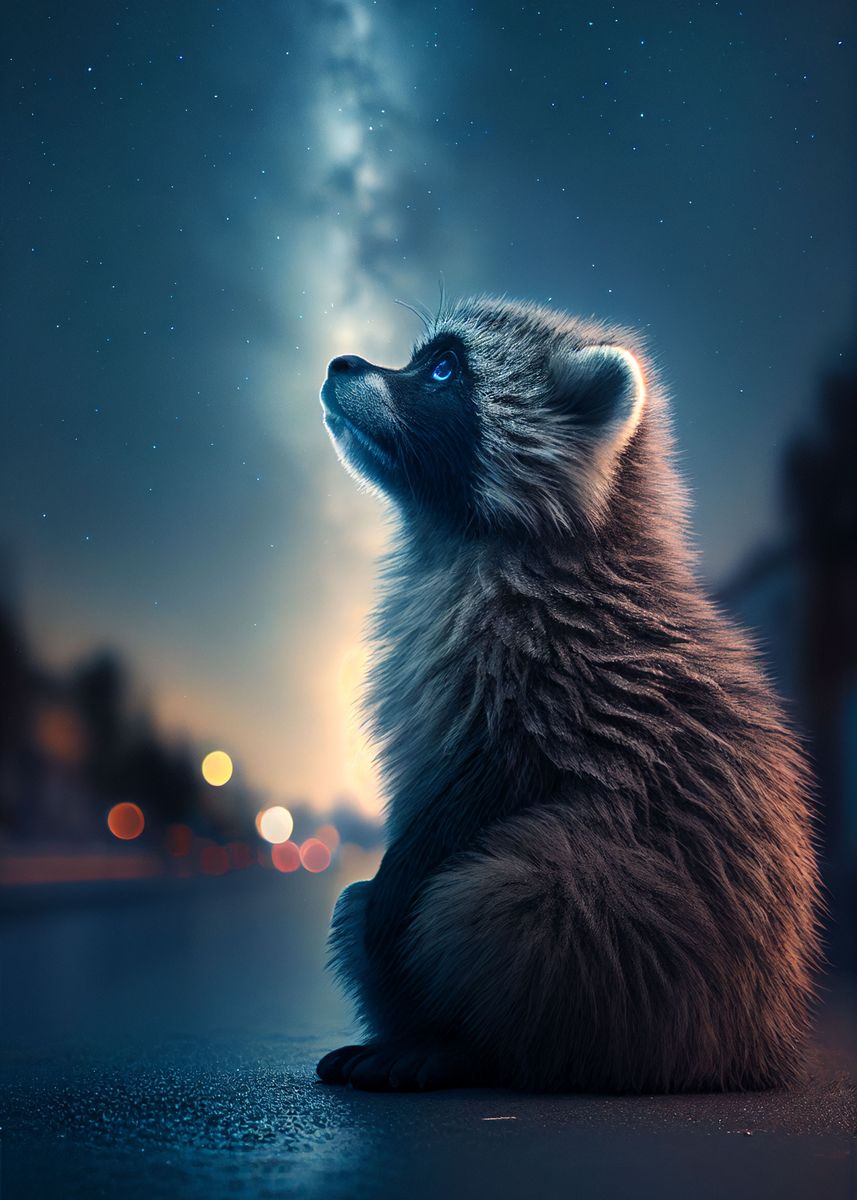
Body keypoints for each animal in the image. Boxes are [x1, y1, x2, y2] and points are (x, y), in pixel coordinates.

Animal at [315, 296, 820, 1093]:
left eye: (443, 369)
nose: (341, 362)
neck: (455, 537)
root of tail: (757, 1044)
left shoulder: (550, 676)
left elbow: (493, 780)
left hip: (658, 944)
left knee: (516, 894)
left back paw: (466, 1044)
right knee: (361, 900)